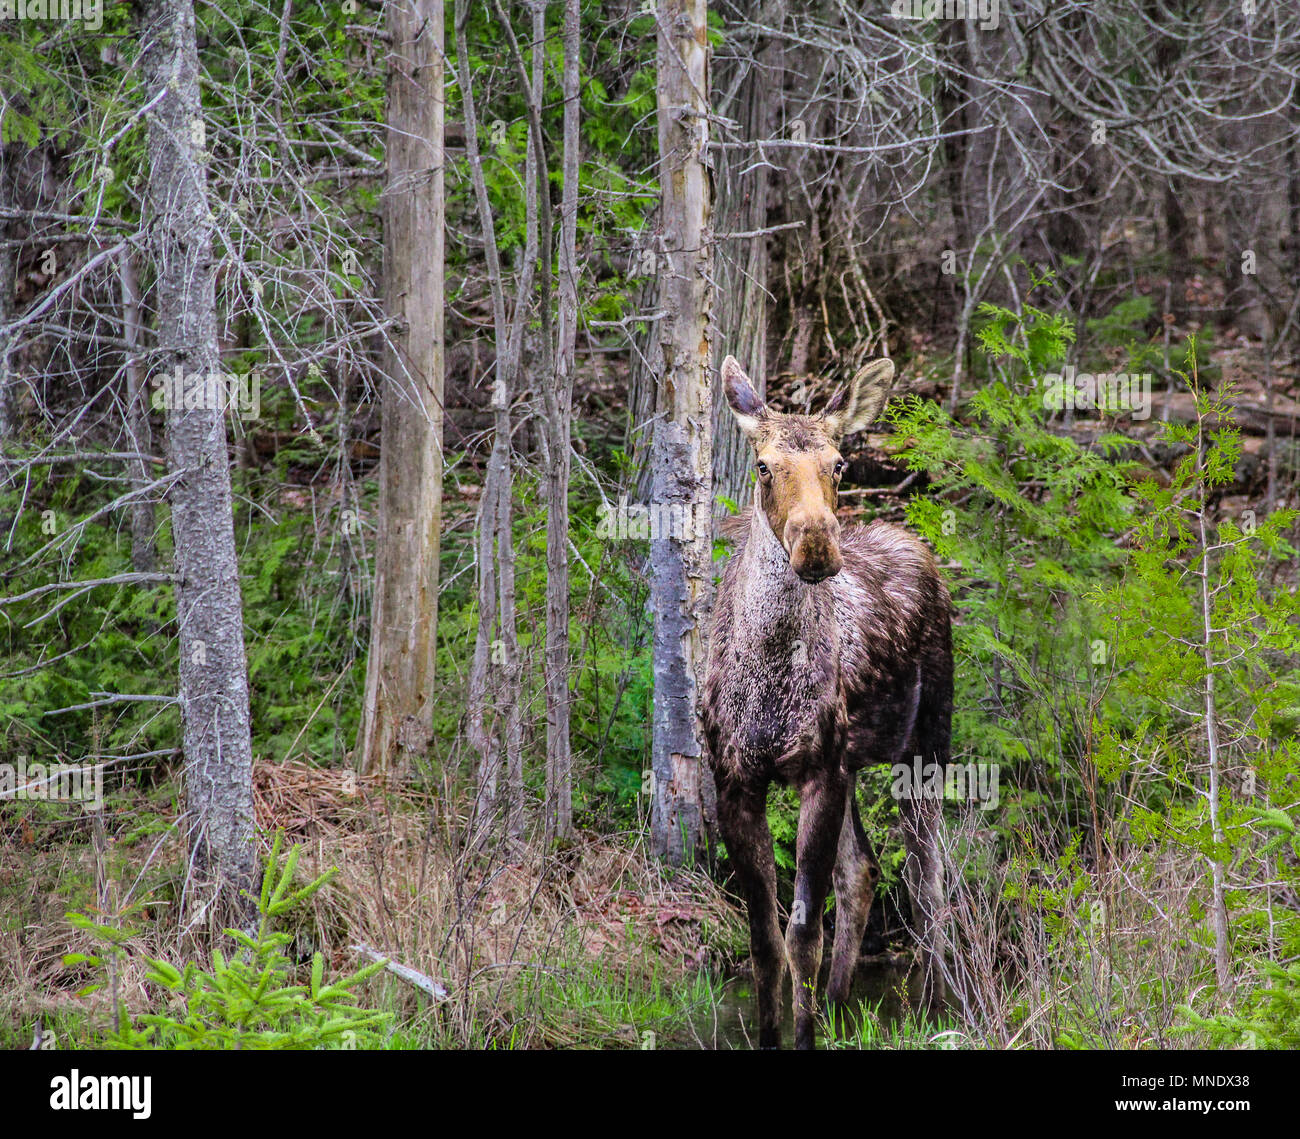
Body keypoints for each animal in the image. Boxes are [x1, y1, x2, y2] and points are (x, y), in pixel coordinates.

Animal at [703, 354, 954, 1050]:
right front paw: (777, 1034)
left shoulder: (821, 771)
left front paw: (804, 1035)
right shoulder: (736, 779)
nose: (816, 544)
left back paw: (934, 1010)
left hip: (926, 742)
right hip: (855, 762)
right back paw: (841, 1008)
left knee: (926, 877)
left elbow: (802, 934)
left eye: (839, 464)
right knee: (862, 869)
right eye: (763, 465)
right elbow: (764, 939)